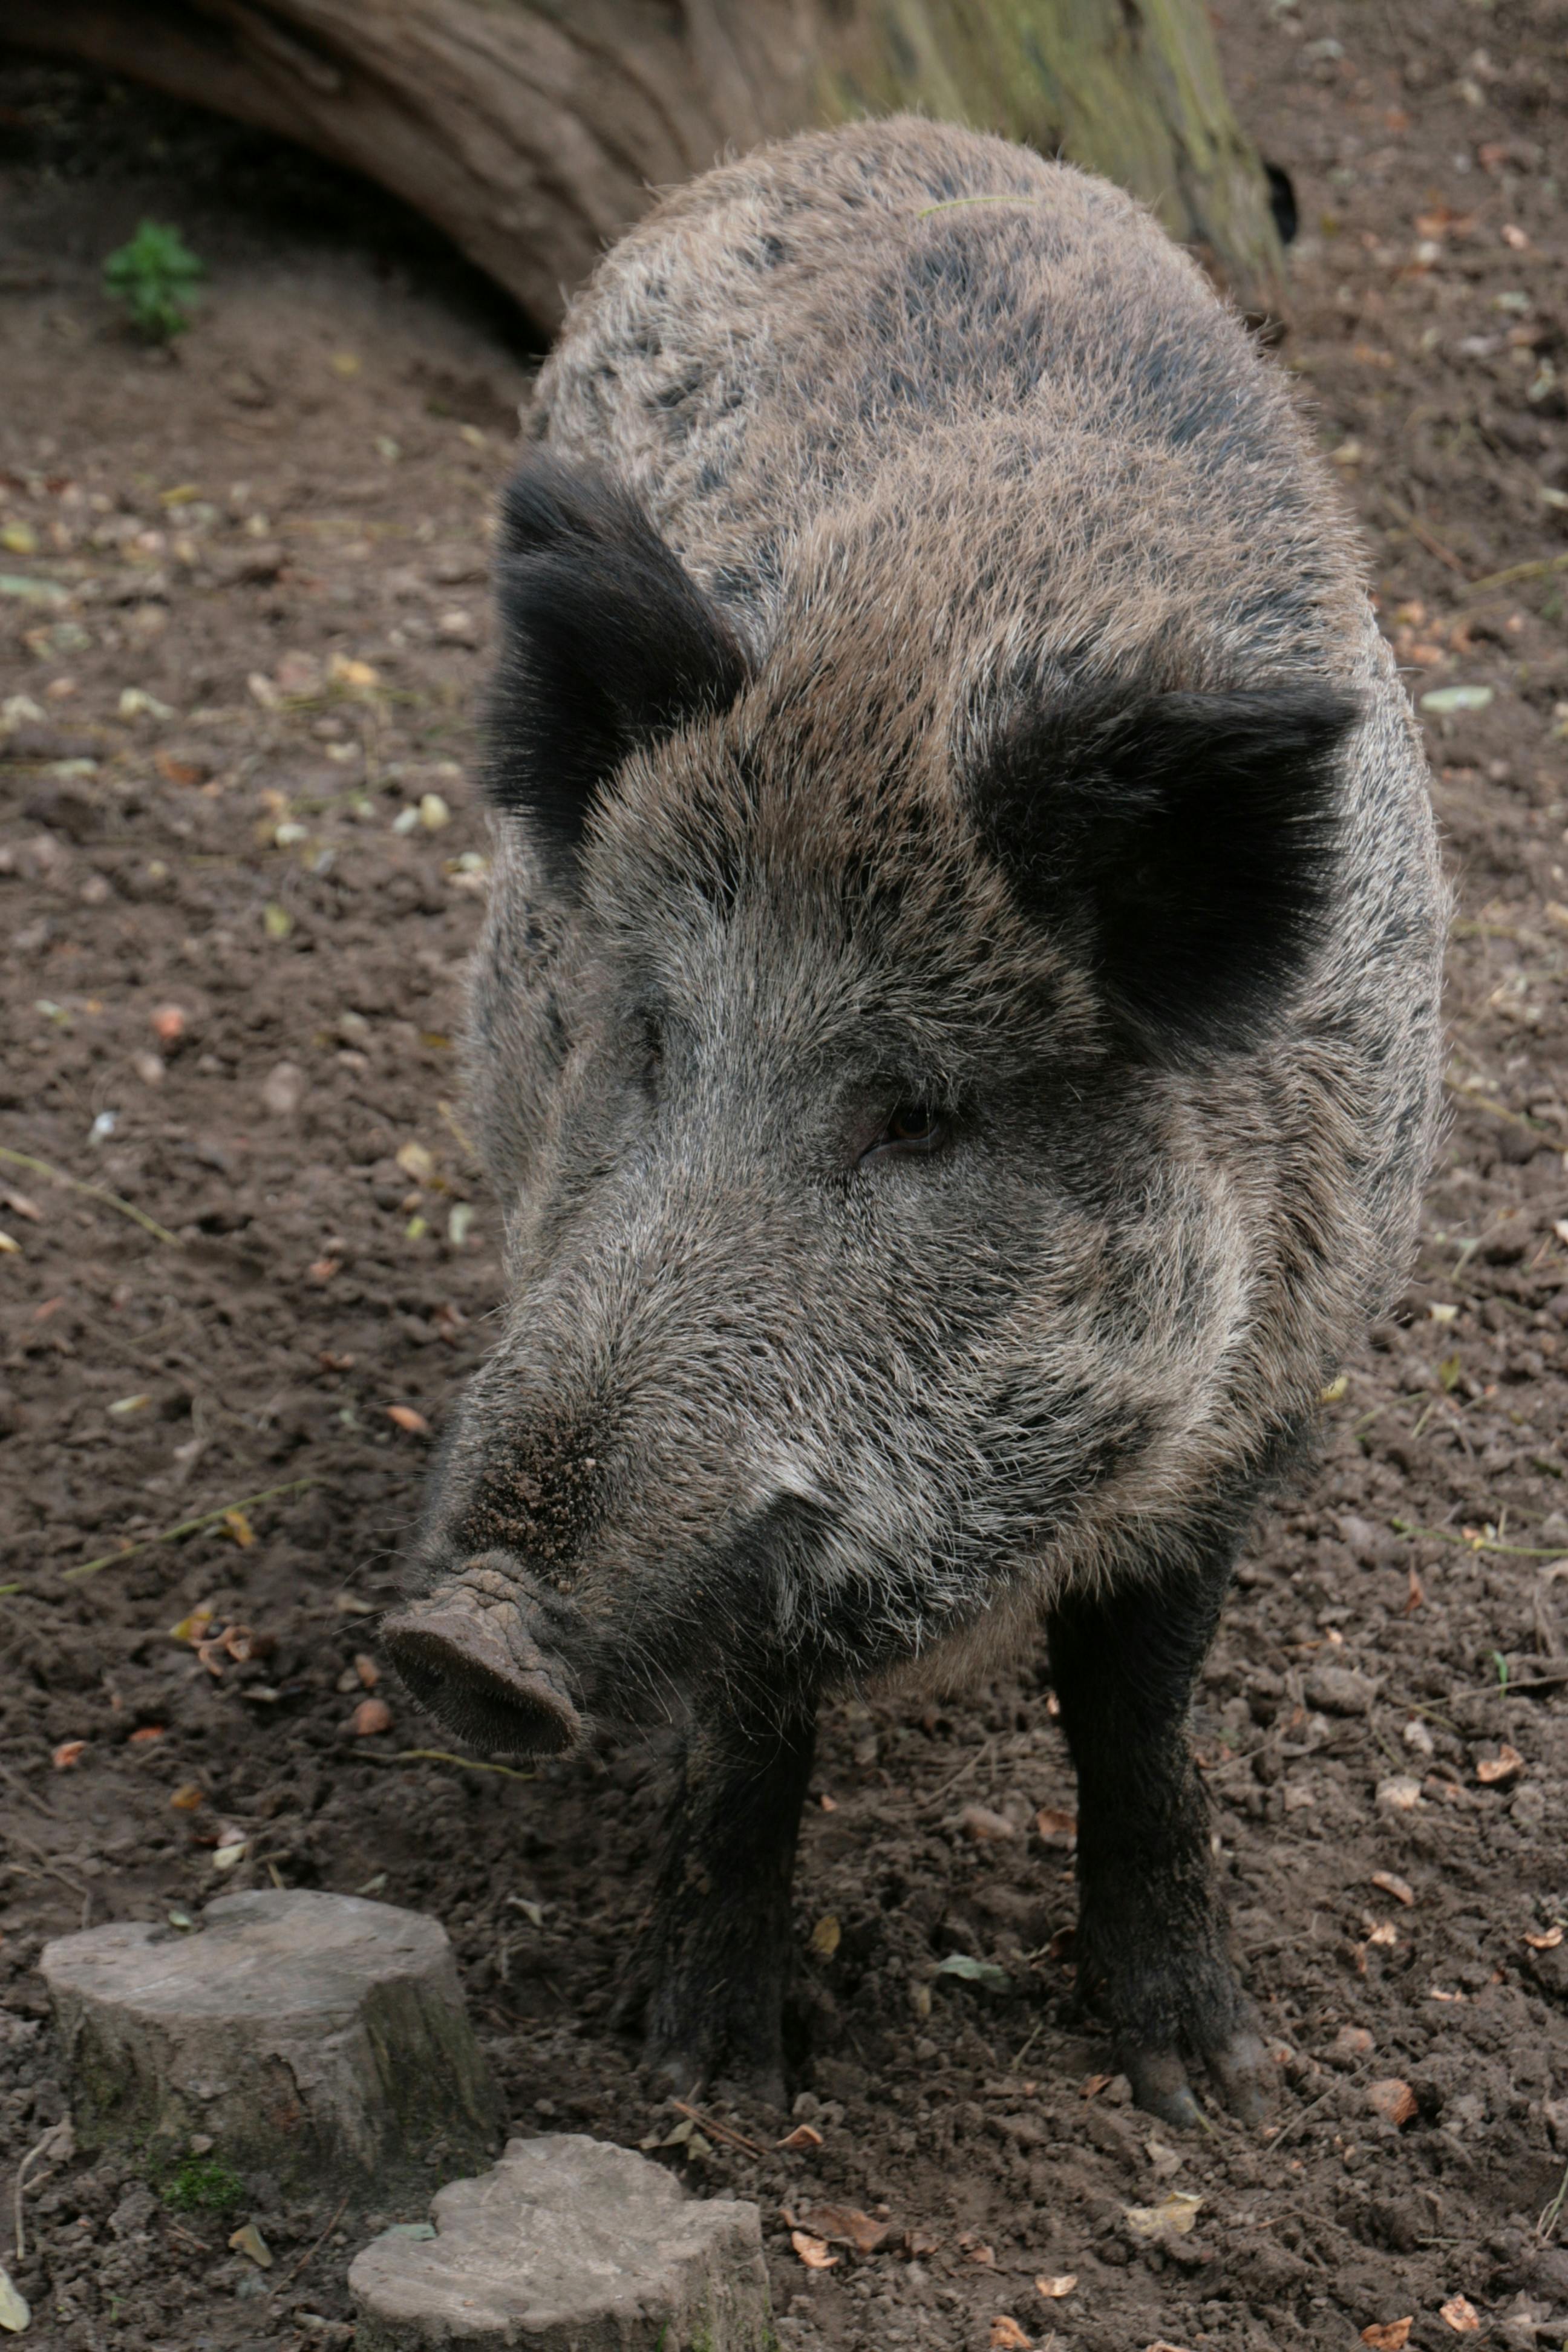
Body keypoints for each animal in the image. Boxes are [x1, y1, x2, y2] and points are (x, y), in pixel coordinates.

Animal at [383, 117, 1446, 2128]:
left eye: (923, 1115)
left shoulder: (1265, 1401)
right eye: (653, 1035)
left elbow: (1138, 1714)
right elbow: (747, 1721)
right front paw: (716, 2085)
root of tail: (847, 135)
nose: (459, 1637)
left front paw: (1209, 2082)